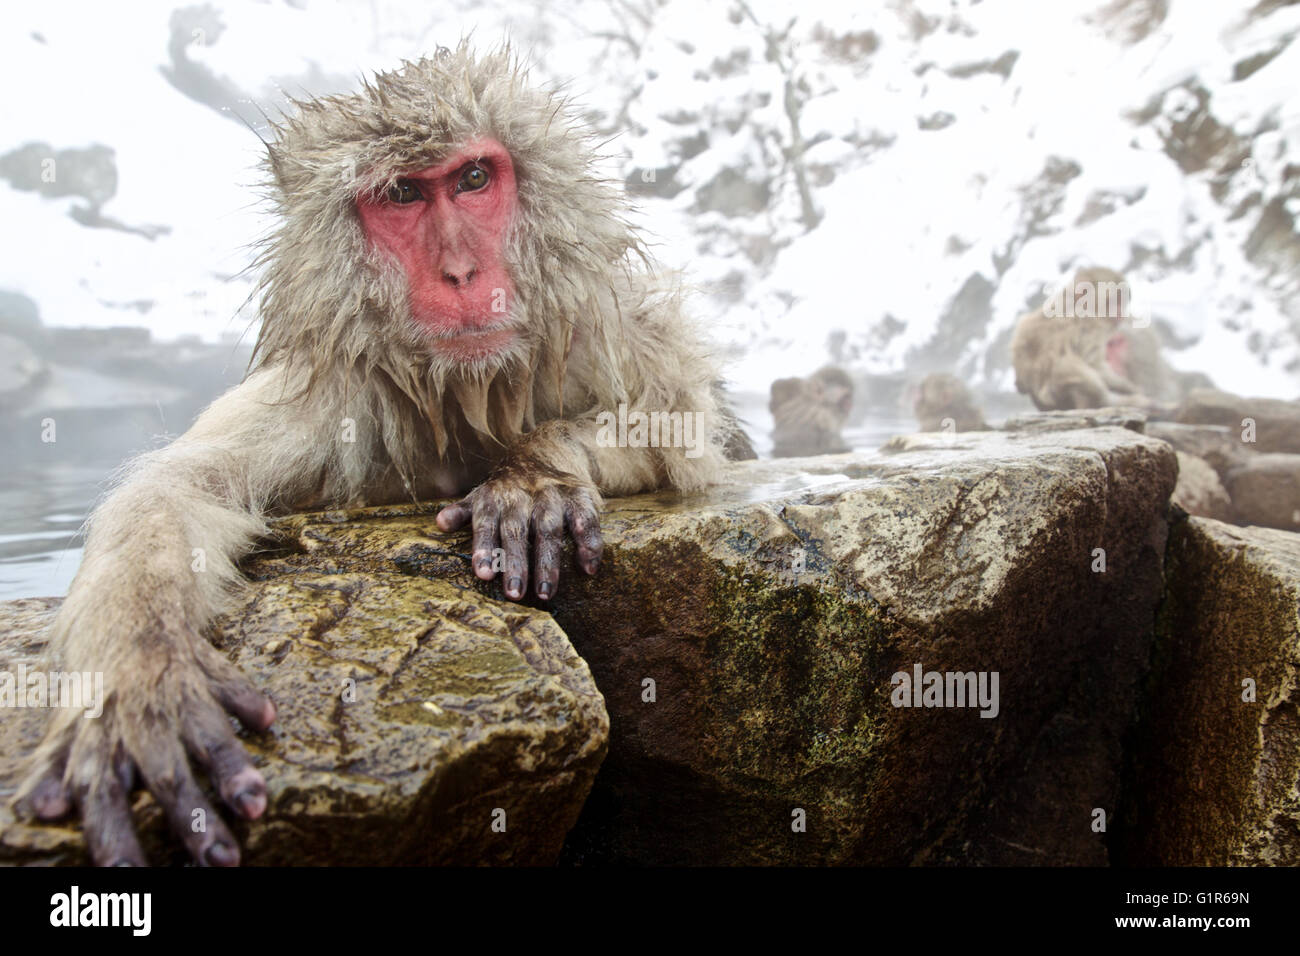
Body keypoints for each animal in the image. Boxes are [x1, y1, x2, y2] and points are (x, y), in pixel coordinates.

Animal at [13, 46, 752, 867]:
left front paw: (533, 475)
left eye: (473, 178)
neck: (467, 393)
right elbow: (181, 488)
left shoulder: (607, 335)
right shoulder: (326, 406)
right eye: (401, 194)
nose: (461, 272)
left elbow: (677, 427)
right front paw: (139, 676)